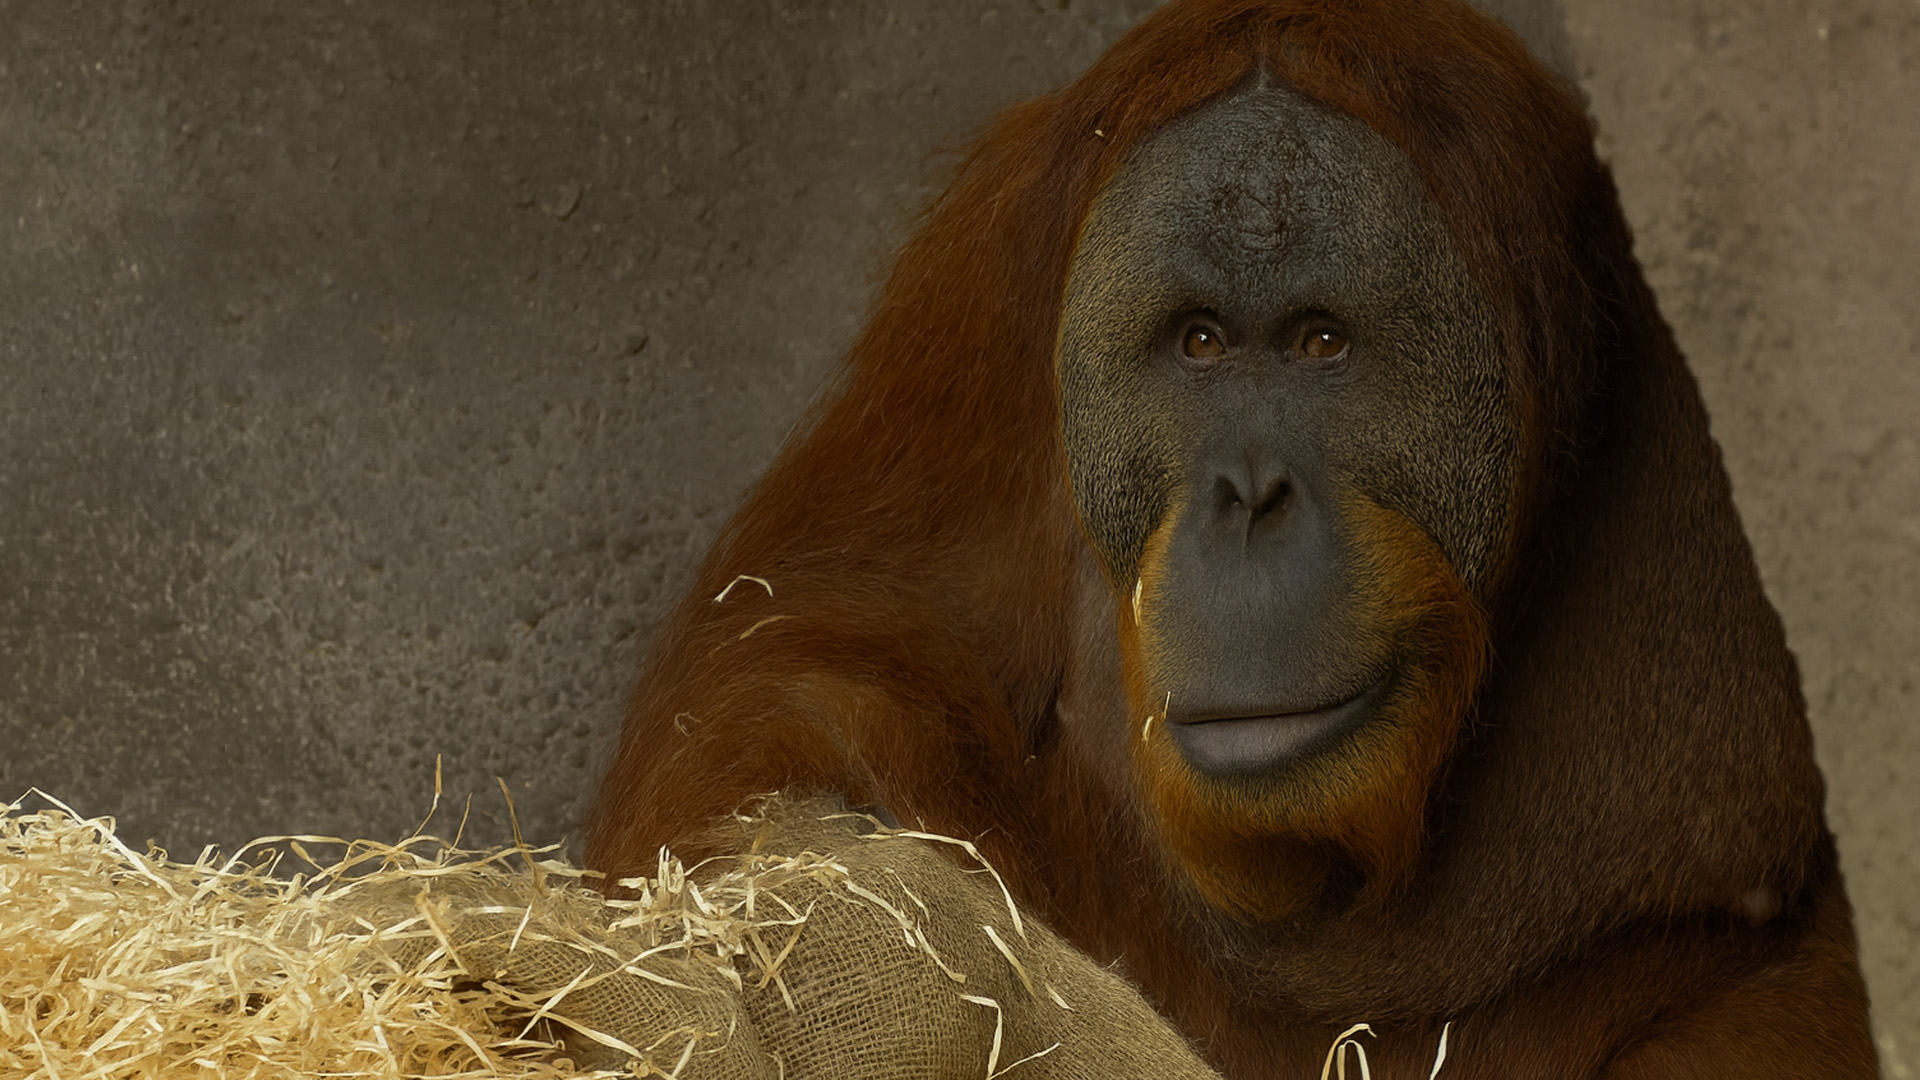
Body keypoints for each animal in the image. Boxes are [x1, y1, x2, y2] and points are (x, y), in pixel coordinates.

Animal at [585, 1, 1879, 1075]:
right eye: (1200, 342)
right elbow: (813, 640)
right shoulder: (971, 321)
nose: (1249, 494)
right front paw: (843, 922)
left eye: (1320, 343)